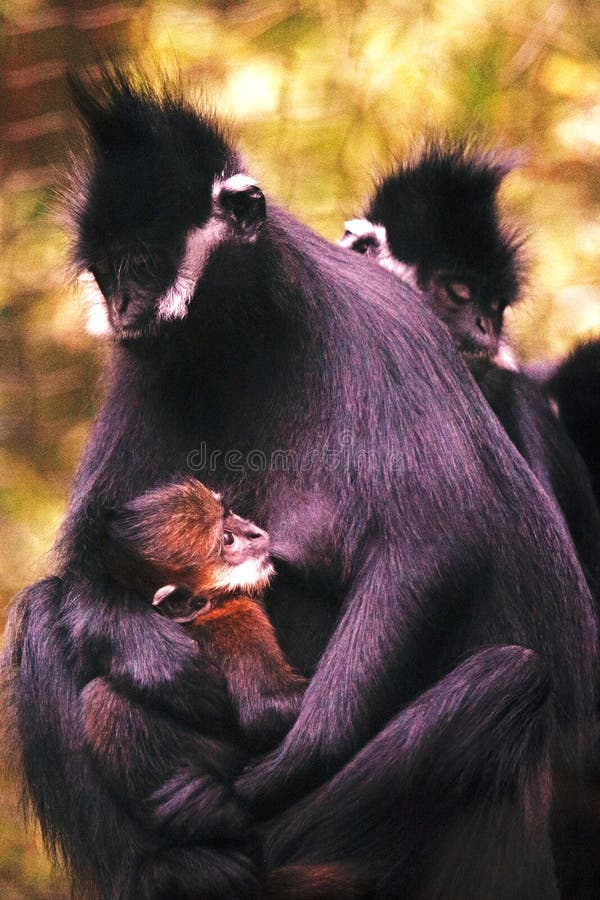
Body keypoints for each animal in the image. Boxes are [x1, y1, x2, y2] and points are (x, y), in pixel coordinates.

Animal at [4, 69, 596, 898]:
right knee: (40, 612)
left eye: (145, 266)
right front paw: (153, 653)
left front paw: (272, 767)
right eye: (109, 271)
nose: (121, 307)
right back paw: (171, 865)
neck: (247, 341)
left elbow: (431, 546)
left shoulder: (370, 328)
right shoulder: (146, 367)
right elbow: (94, 558)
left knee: (506, 680)